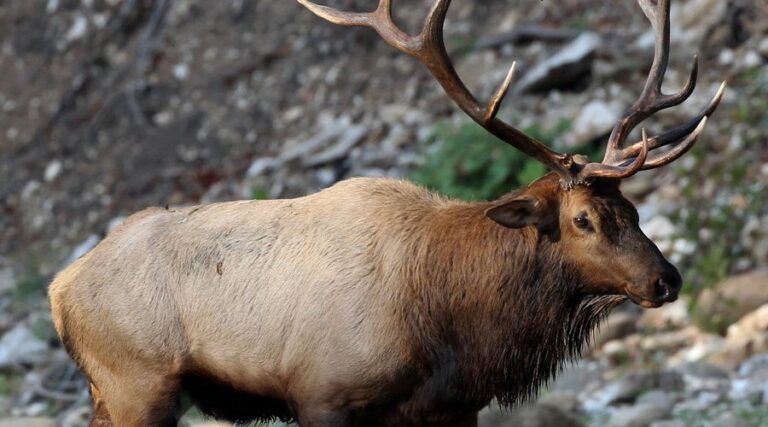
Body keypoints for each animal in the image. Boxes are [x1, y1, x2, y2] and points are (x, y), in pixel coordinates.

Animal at [48, 0, 725, 426]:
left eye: (632, 207)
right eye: (582, 218)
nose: (666, 279)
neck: (452, 328)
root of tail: (60, 288)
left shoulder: (450, 408)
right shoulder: (322, 394)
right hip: (136, 382)